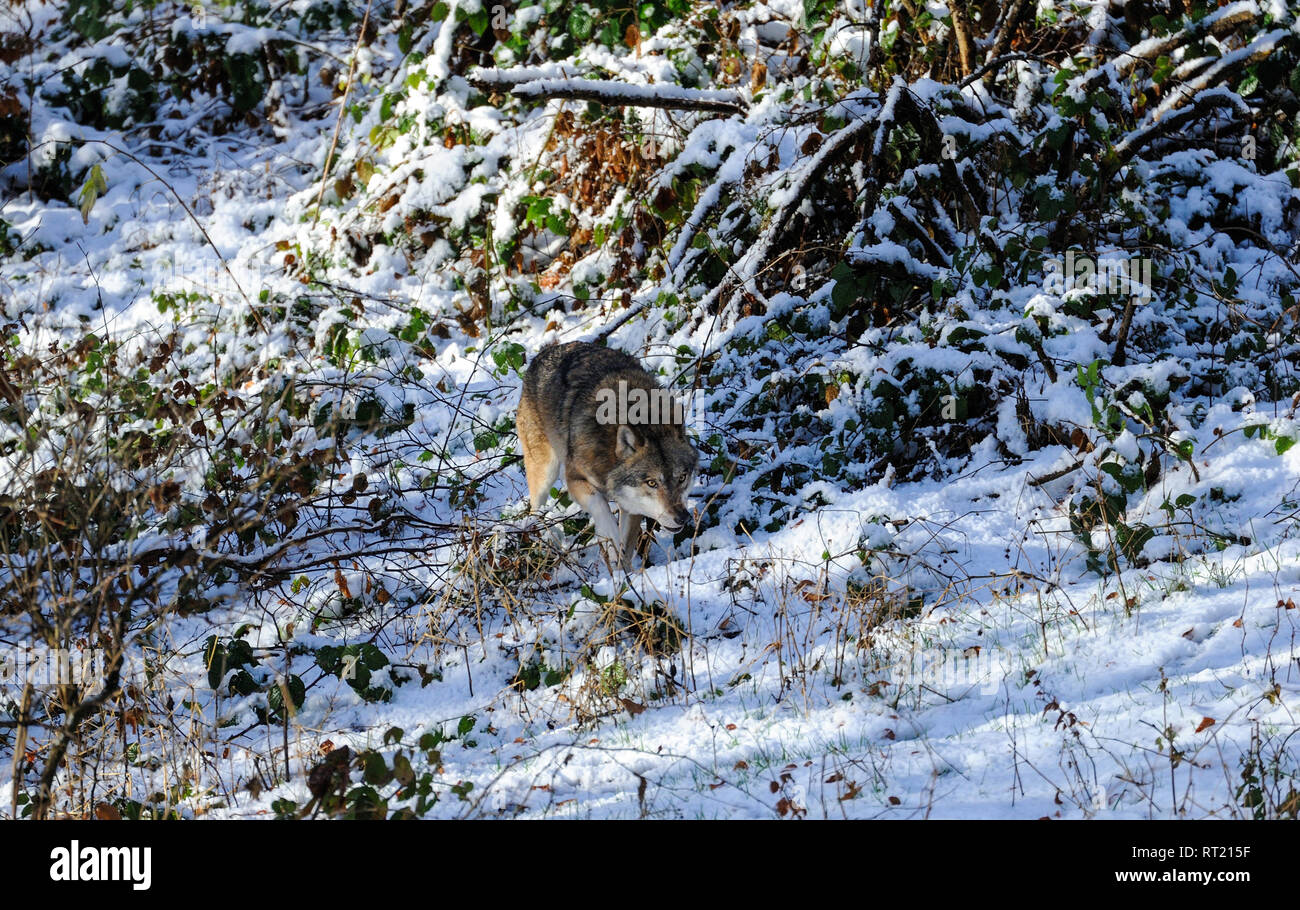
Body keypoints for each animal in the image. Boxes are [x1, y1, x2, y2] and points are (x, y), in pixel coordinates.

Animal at [516, 341, 699, 570]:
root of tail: (547, 349)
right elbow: (601, 508)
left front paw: (624, 574)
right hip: (545, 474)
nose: (683, 518)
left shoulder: (632, 506)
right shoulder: (574, 479)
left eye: (682, 478)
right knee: (534, 508)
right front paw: (611, 540)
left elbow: (626, 548)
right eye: (652, 483)